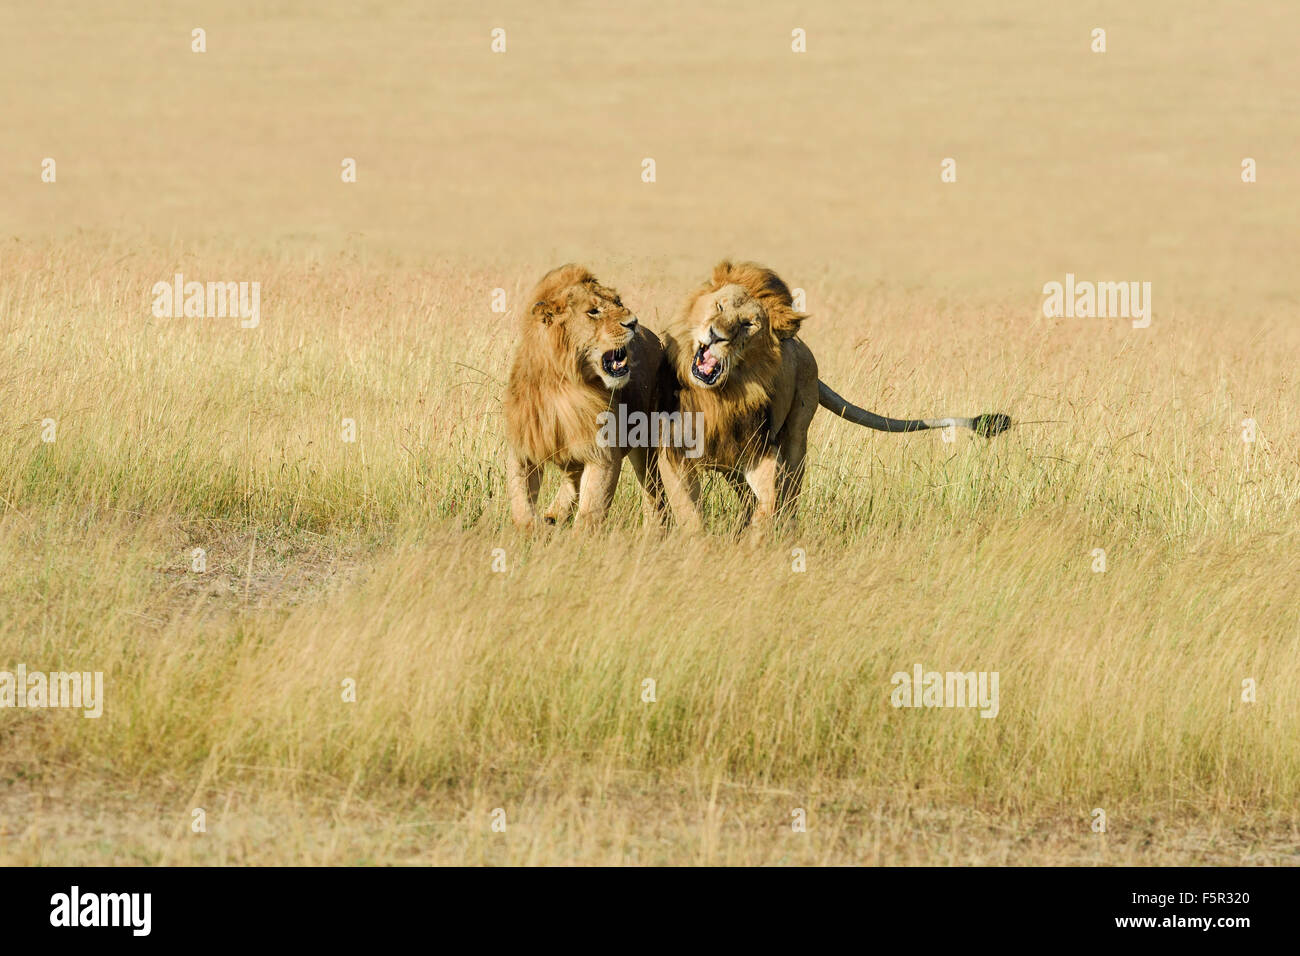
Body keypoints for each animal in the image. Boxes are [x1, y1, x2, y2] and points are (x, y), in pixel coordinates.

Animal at [503, 264, 667, 530]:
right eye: (593, 311)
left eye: (618, 302)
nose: (633, 322)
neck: (565, 385)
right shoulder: (524, 447)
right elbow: (521, 505)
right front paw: (532, 530)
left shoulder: (604, 454)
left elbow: (591, 512)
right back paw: (553, 515)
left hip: (648, 444)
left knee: (654, 491)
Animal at [657, 260, 1010, 531]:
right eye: (718, 306)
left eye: (747, 325)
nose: (716, 335)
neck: (720, 395)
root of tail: (801, 346)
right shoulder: (674, 453)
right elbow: (690, 514)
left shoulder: (761, 451)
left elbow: (770, 499)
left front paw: (759, 536)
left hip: (797, 435)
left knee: (790, 492)